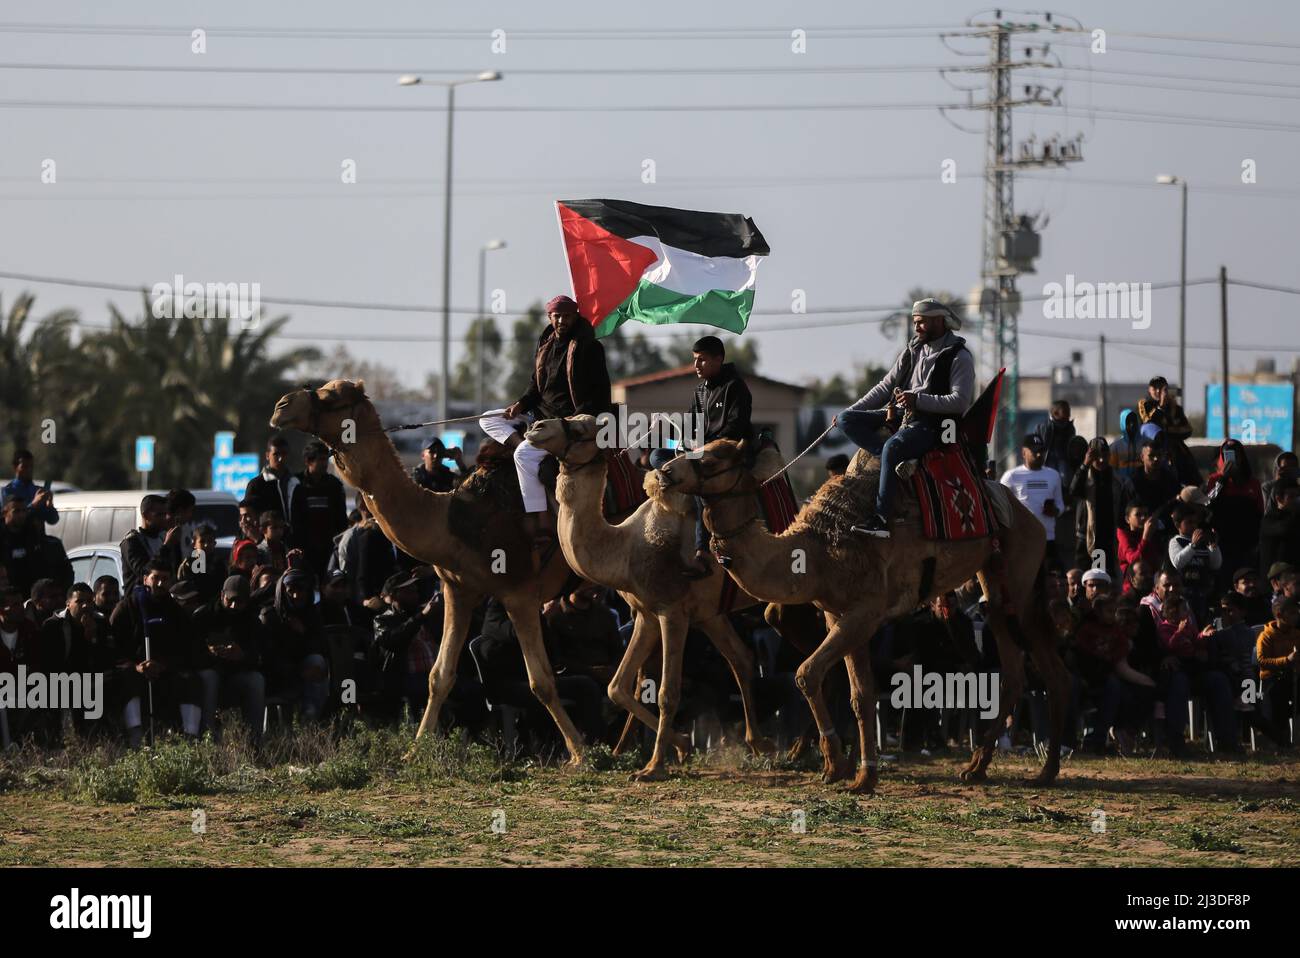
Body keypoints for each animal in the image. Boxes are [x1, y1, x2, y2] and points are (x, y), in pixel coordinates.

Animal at [270, 379, 603, 762]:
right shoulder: (458, 589)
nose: (280, 406)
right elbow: (439, 675)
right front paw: (413, 753)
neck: (450, 522)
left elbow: (542, 680)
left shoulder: (517, 590)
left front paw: (580, 753)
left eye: (331, 397)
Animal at [525, 414, 794, 780]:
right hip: (714, 614)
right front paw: (679, 746)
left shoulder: (672, 612)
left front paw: (654, 766)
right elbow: (617, 686)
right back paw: (761, 743)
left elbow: (667, 692)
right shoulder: (646, 613)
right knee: (742, 658)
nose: (536, 427)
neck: (625, 546)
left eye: (580, 429)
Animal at [659, 438, 1070, 795]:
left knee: (1050, 668)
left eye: (712, 460)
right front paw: (861, 776)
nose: (664, 472)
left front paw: (836, 766)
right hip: (993, 581)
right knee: (1013, 671)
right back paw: (976, 767)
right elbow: (860, 694)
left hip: (1020, 576)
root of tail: (1027, 514)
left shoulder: (865, 611)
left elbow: (806, 674)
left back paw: (1047, 770)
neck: (814, 552)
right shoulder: (838, 613)